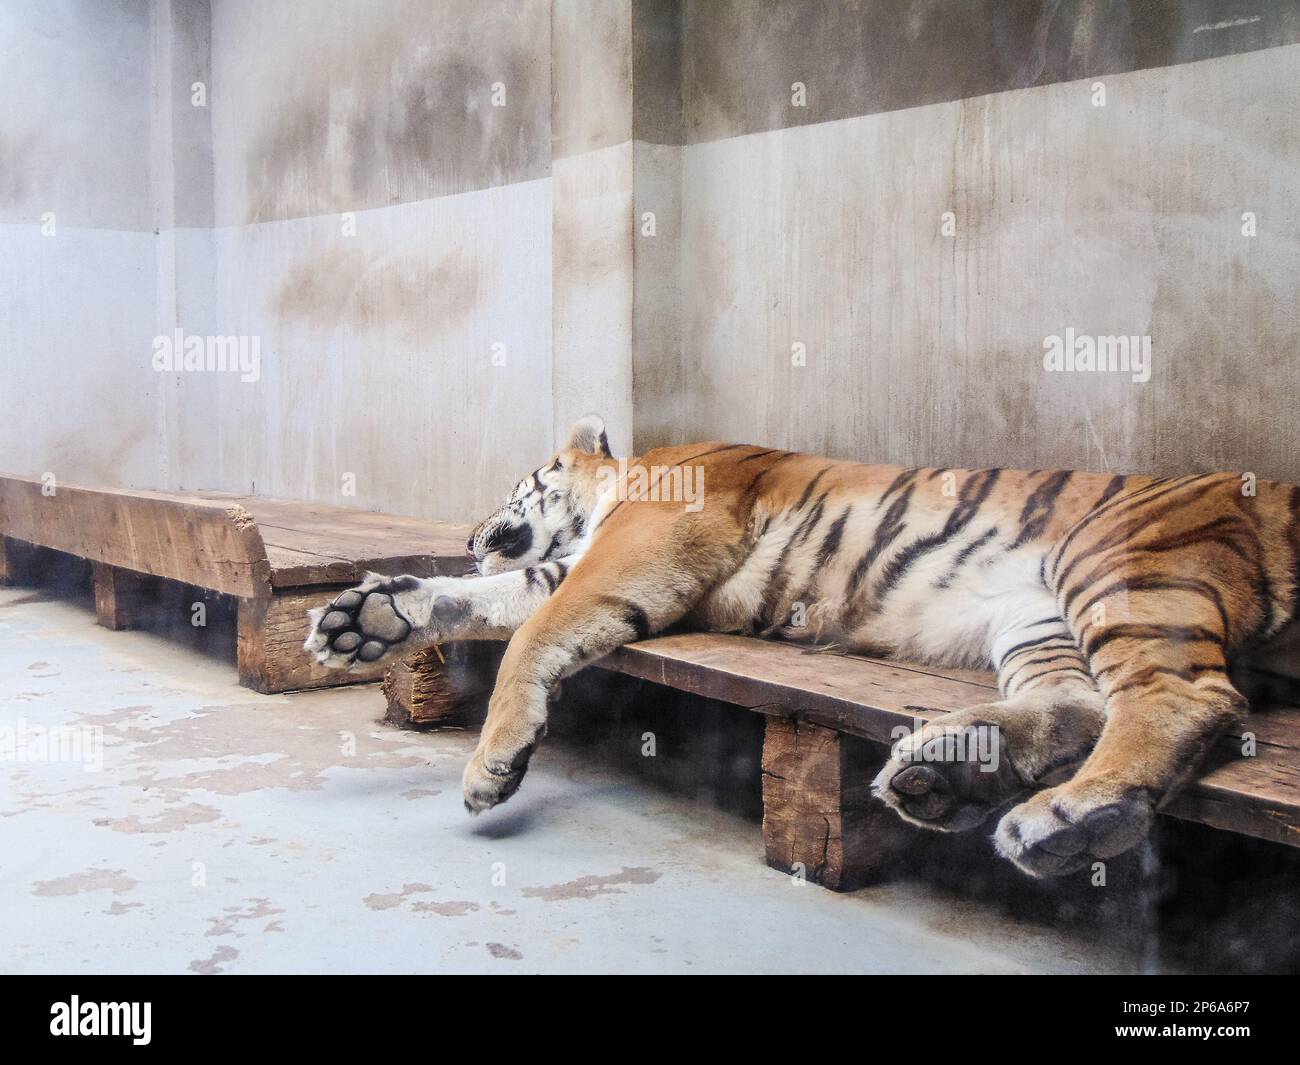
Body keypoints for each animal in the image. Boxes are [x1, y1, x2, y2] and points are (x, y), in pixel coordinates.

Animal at [304, 414, 1300, 878]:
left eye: (516, 484)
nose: (471, 531)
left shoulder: (631, 556)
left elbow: (527, 641)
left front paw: (492, 766)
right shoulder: (575, 568)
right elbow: (476, 601)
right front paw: (368, 618)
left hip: (1120, 564)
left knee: (1188, 697)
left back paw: (1072, 817)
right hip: (1036, 614)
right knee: (1081, 701)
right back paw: (945, 775)